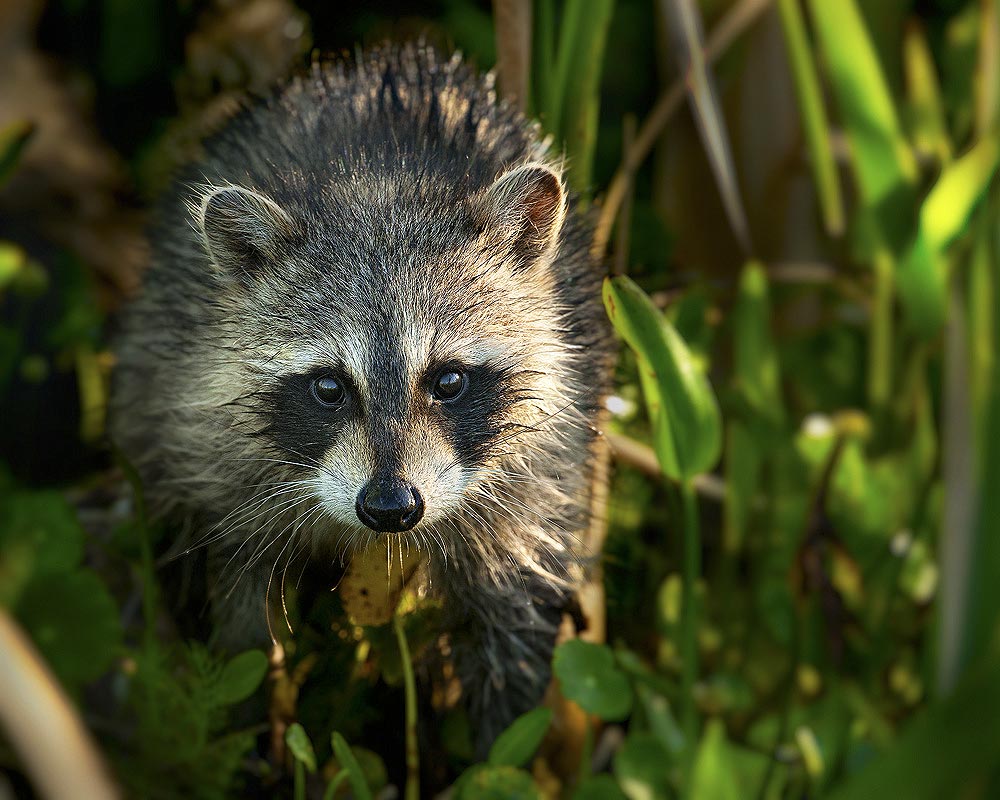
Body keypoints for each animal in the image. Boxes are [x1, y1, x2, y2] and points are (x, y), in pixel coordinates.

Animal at [111, 43, 611, 749]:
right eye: (329, 387)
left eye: (448, 381)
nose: (391, 507)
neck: (379, 185)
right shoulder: (209, 452)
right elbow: (238, 622)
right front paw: (247, 735)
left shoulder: (538, 473)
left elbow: (514, 617)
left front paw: (496, 752)